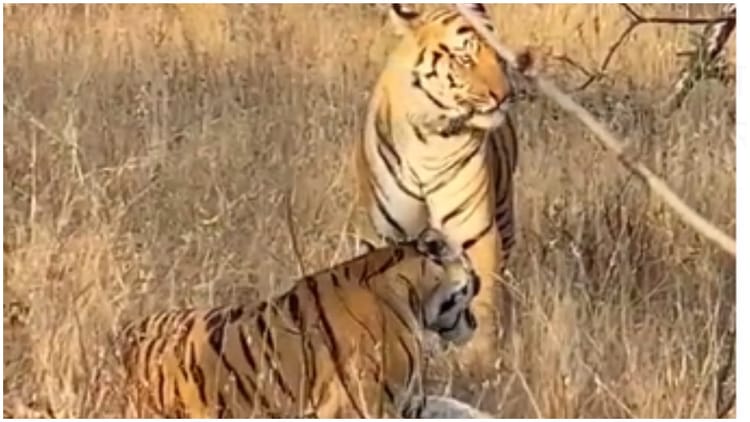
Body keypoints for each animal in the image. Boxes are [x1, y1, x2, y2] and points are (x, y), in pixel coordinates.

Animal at [353, 3, 519, 366]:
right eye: (465, 59)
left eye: (498, 57)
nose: (505, 97)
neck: (430, 139)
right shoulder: (388, 234)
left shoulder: (475, 232)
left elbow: (484, 298)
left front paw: (479, 363)